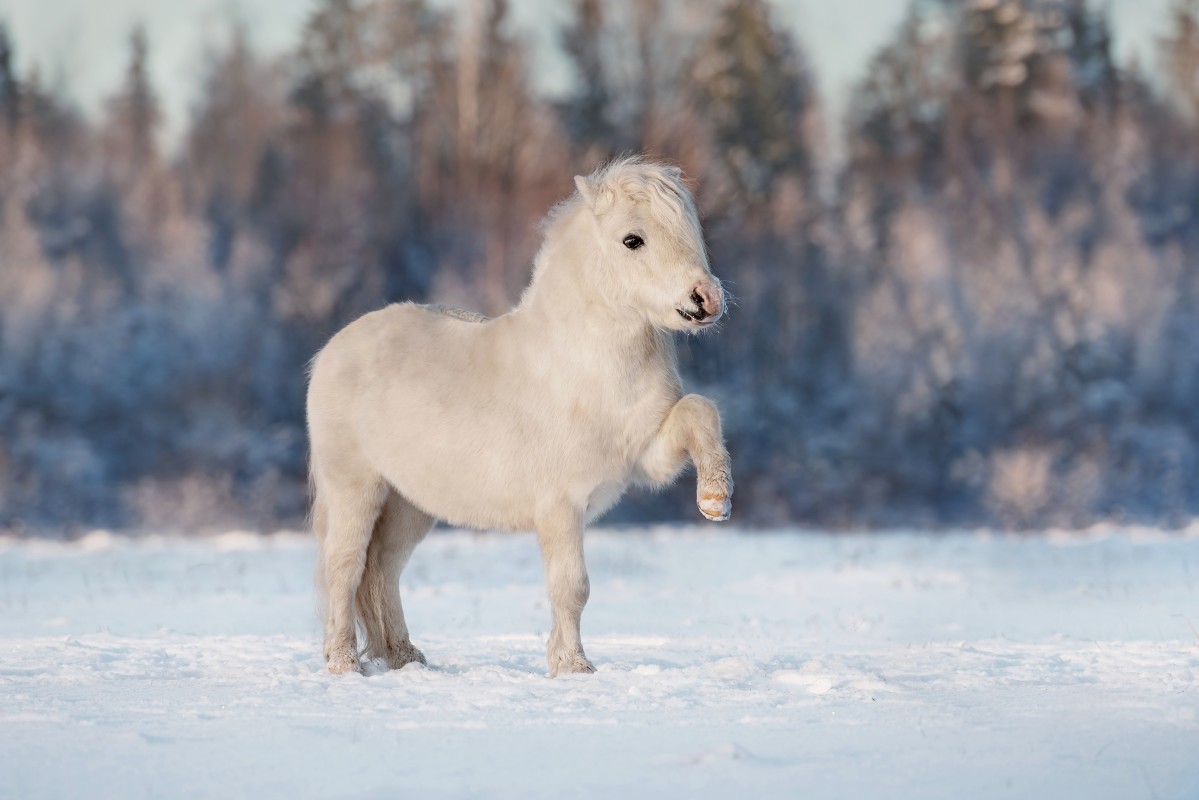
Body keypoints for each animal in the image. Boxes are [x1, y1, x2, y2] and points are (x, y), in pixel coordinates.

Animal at [306, 157, 734, 677]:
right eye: (633, 239)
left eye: (690, 228)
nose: (706, 299)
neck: (579, 366)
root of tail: (333, 348)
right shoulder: (560, 505)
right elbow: (571, 587)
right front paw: (573, 666)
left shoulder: (648, 455)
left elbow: (700, 410)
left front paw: (714, 501)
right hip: (354, 489)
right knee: (344, 567)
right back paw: (345, 663)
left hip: (409, 504)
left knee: (382, 570)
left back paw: (406, 659)